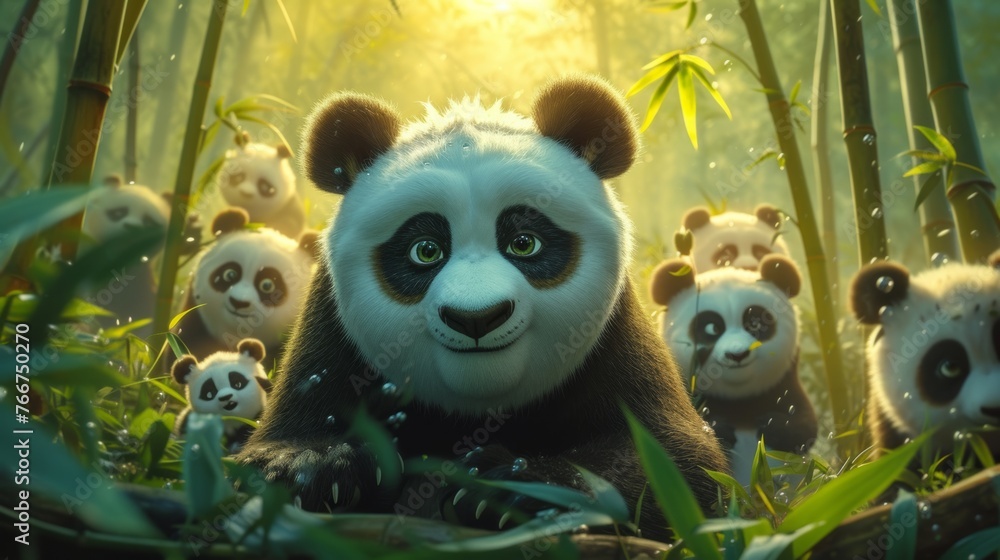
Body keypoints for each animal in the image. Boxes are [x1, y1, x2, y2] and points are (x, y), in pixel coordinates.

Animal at [236, 75, 727, 540]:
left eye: (524, 243)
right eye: (426, 250)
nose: (477, 318)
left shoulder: (615, 336)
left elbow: (677, 465)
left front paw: (503, 486)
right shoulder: (332, 330)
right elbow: (279, 440)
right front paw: (320, 470)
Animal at [650, 254, 817, 486]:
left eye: (755, 323)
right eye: (712, 328)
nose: (737, 354)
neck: (739, 402)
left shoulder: (785, 389)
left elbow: (806, 427)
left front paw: (771, 425)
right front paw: (719, 430)